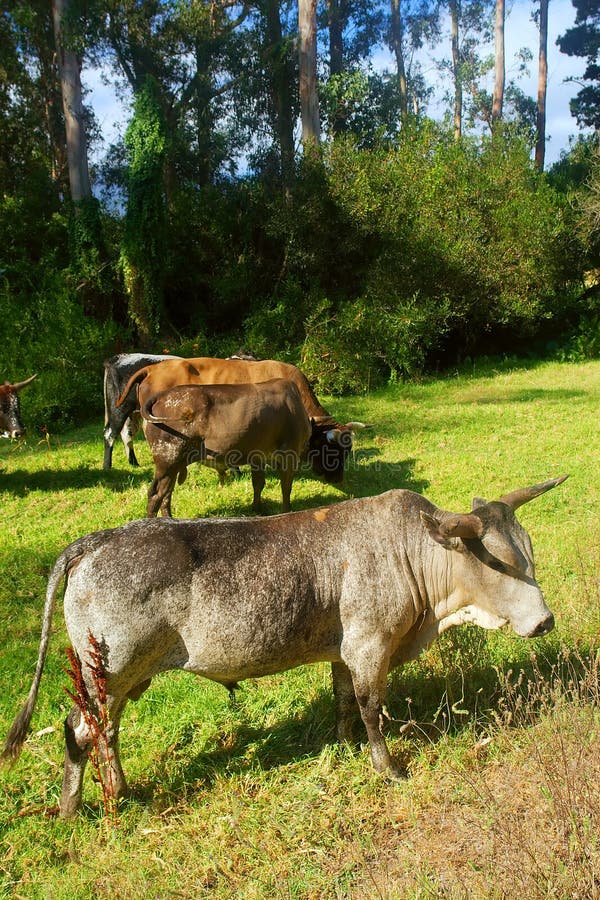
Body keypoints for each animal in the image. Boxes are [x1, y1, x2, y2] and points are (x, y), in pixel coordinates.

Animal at [2, 476, 565, 818]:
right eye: (499, 561)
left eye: (529, 550)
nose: (545, 621)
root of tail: (96, 541)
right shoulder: (370, 645)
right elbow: (372, 708)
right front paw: (388, 768)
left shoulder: (344, 650)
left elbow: (344, 703)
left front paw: (345, 744)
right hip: (108, 671)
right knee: (80, 730)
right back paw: (87, 804)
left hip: (119, 678)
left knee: (103, 730)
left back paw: (105, 794)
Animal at [141, 379, 312, 516]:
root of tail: (160, 396)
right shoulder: (290, 453)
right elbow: (286, 486)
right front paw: (286, 511)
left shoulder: (258, 457)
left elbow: (258, 483)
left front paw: (257, 509)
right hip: (167, 460)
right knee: (155, 495)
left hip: (173, 466)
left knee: (166, 495)